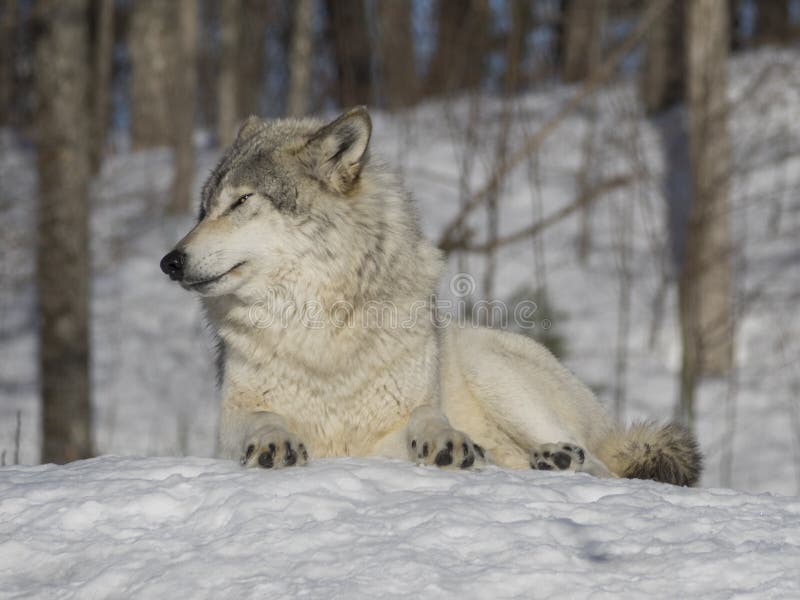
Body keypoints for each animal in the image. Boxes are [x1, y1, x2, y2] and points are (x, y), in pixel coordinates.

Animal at [160, 107, 702, 486]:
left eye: (242, 201)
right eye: (204, 208)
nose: (170, 262)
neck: (320, 334)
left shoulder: (403, 417)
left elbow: (428, 418)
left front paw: (448, 443)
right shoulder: (231, 421)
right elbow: (262, 419)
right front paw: (274, 440)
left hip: (492, 367)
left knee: (601, 466)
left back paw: (557, 458)